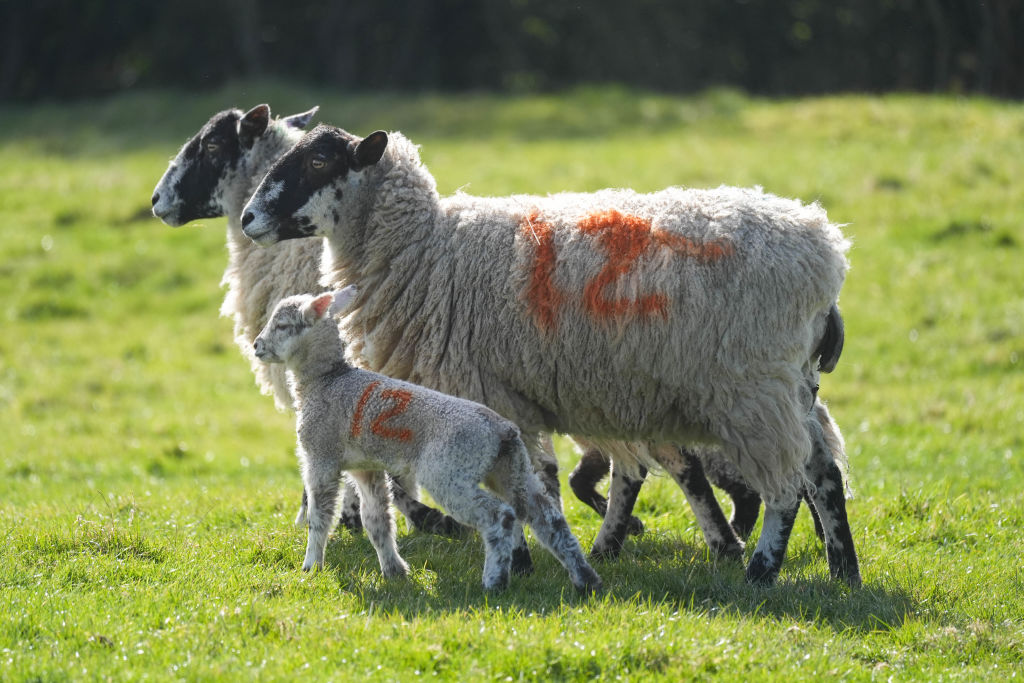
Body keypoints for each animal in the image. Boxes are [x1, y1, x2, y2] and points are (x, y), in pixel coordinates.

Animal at [253, 290, 603, 593]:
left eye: (282, 325)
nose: (257, 346)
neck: (327, 380)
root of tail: (503, 430)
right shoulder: (366, 466)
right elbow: (377, 521)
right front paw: (394, 571)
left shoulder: (321, 456)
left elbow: (320, 516)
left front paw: (311, 566)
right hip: (512, 469)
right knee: (548, 519)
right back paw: (585, 580)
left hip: (450, 470)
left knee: (499, 517)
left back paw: (494, 581)